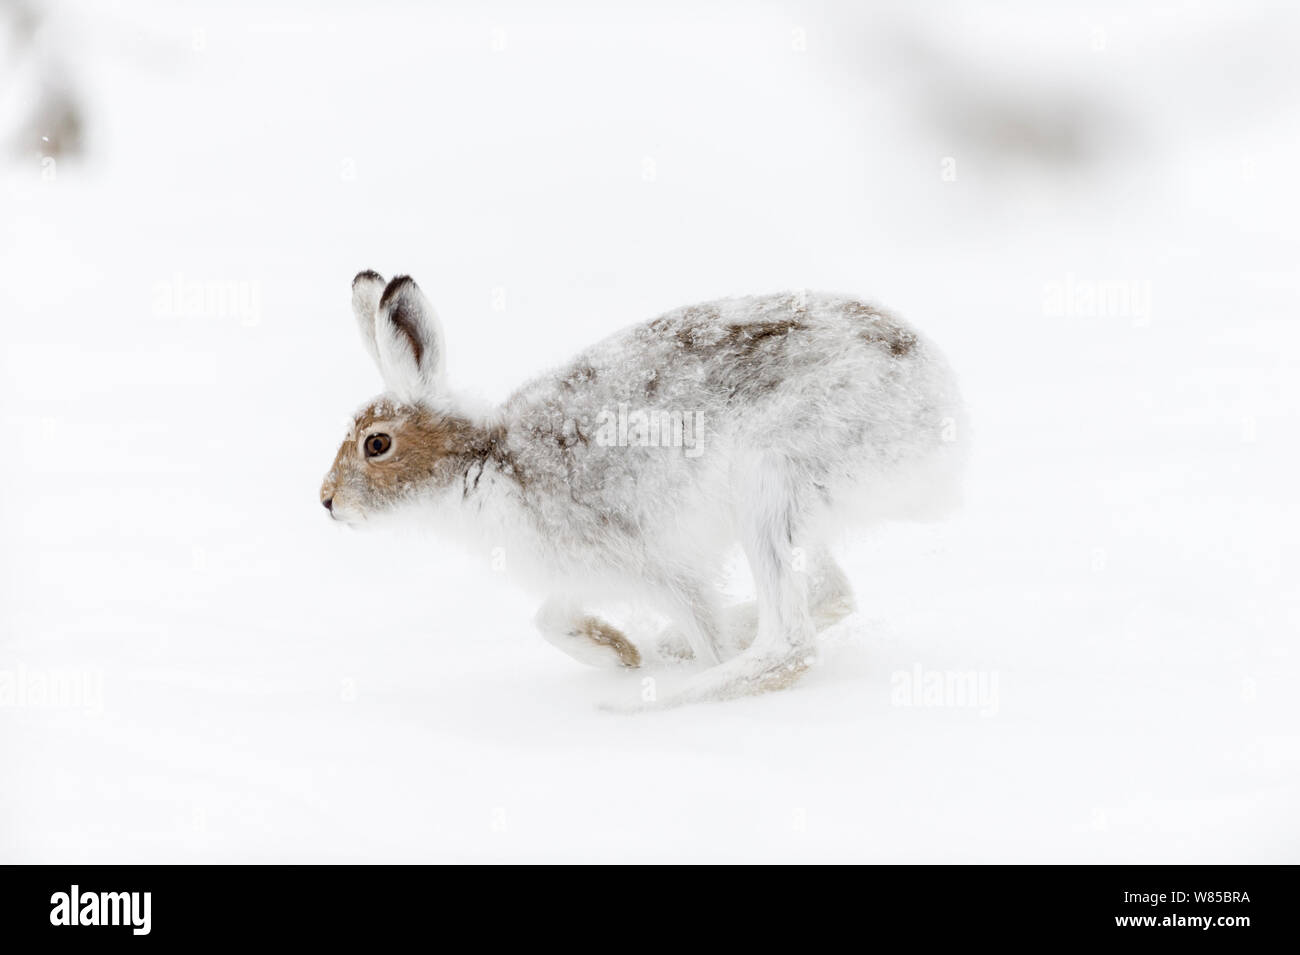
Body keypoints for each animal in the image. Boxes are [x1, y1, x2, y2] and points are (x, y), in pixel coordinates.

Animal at [320, 272, 967, 709]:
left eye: (376, 444)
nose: (327, 502)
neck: (481, 461)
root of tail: (938, 407)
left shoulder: (657, 568)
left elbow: (702, 625)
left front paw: (656, 665)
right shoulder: (582, 572)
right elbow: (548, 619)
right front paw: (618, 650)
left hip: (767, 482)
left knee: (789, 645)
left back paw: (648, 704)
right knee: (834, 593)